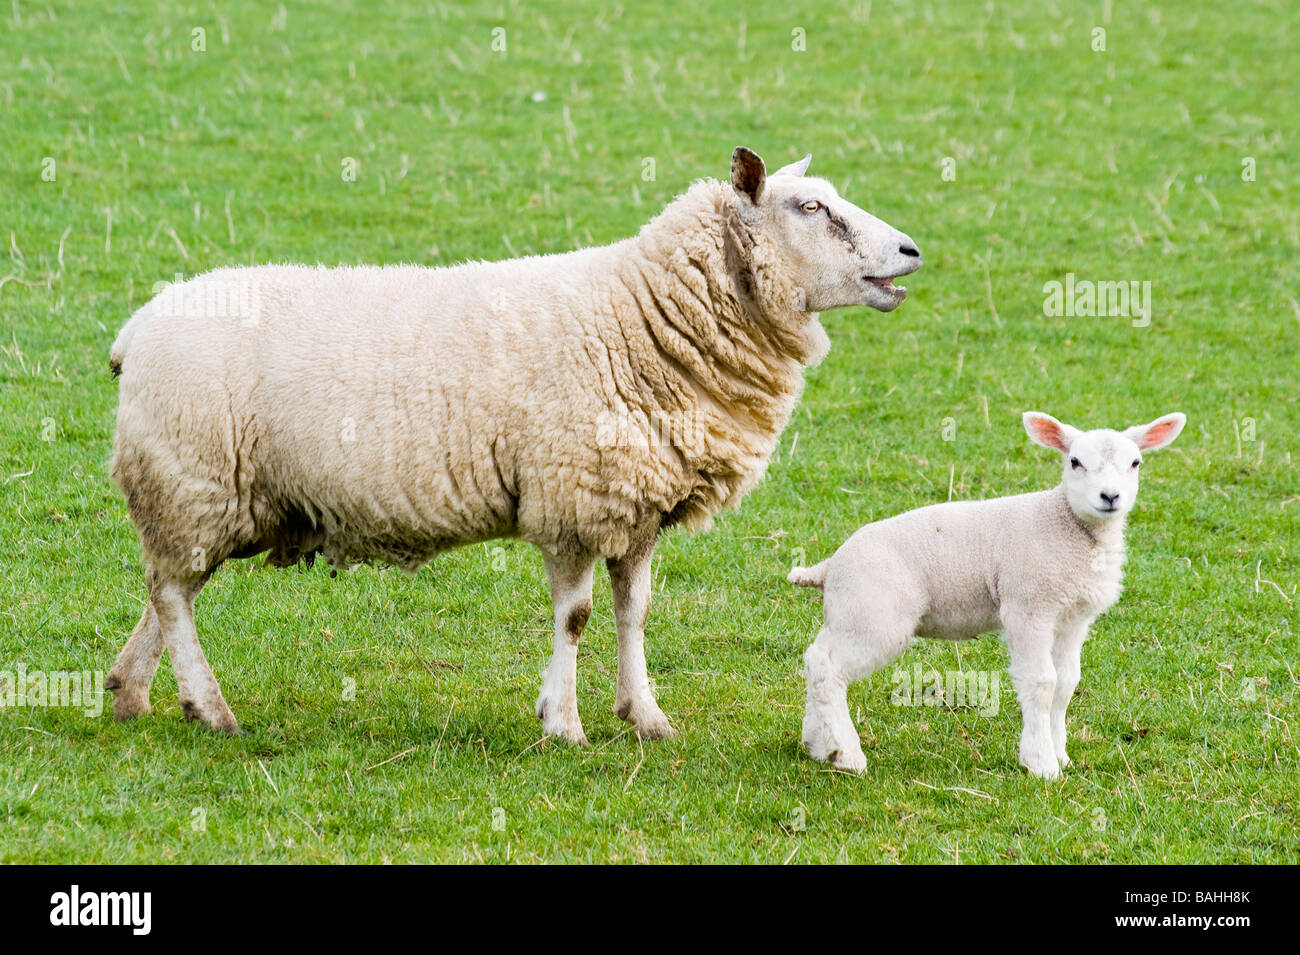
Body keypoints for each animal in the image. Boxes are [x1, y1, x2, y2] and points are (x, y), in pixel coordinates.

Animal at [105, 147, 923, 743]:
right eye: (810, 207)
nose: (911, 251)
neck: (638, 316)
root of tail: (135, 330)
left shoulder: (637, 507)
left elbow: (635, 612)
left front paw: (646, 716)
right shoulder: (571, 499)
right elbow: (577, 618)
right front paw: (563, 723)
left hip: (197, 494)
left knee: (166, 590)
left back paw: (130, 690)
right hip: (191, 479)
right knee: (175, 596)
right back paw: (209, 708)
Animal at [788, 411, 1186, 778]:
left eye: (1135, 463)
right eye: (1075, 461)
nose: (1110, 496)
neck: (1067, 524)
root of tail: (828, 566)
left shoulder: (1072, 618)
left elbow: (1066, 683)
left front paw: (1061, 755)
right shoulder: (1028, 608)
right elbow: (1042, 682)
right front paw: (1041, 764)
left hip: (851, 612)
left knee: (815, 658)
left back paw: (819, 745)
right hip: (874, 614)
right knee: (827, 669)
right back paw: (848, 756)